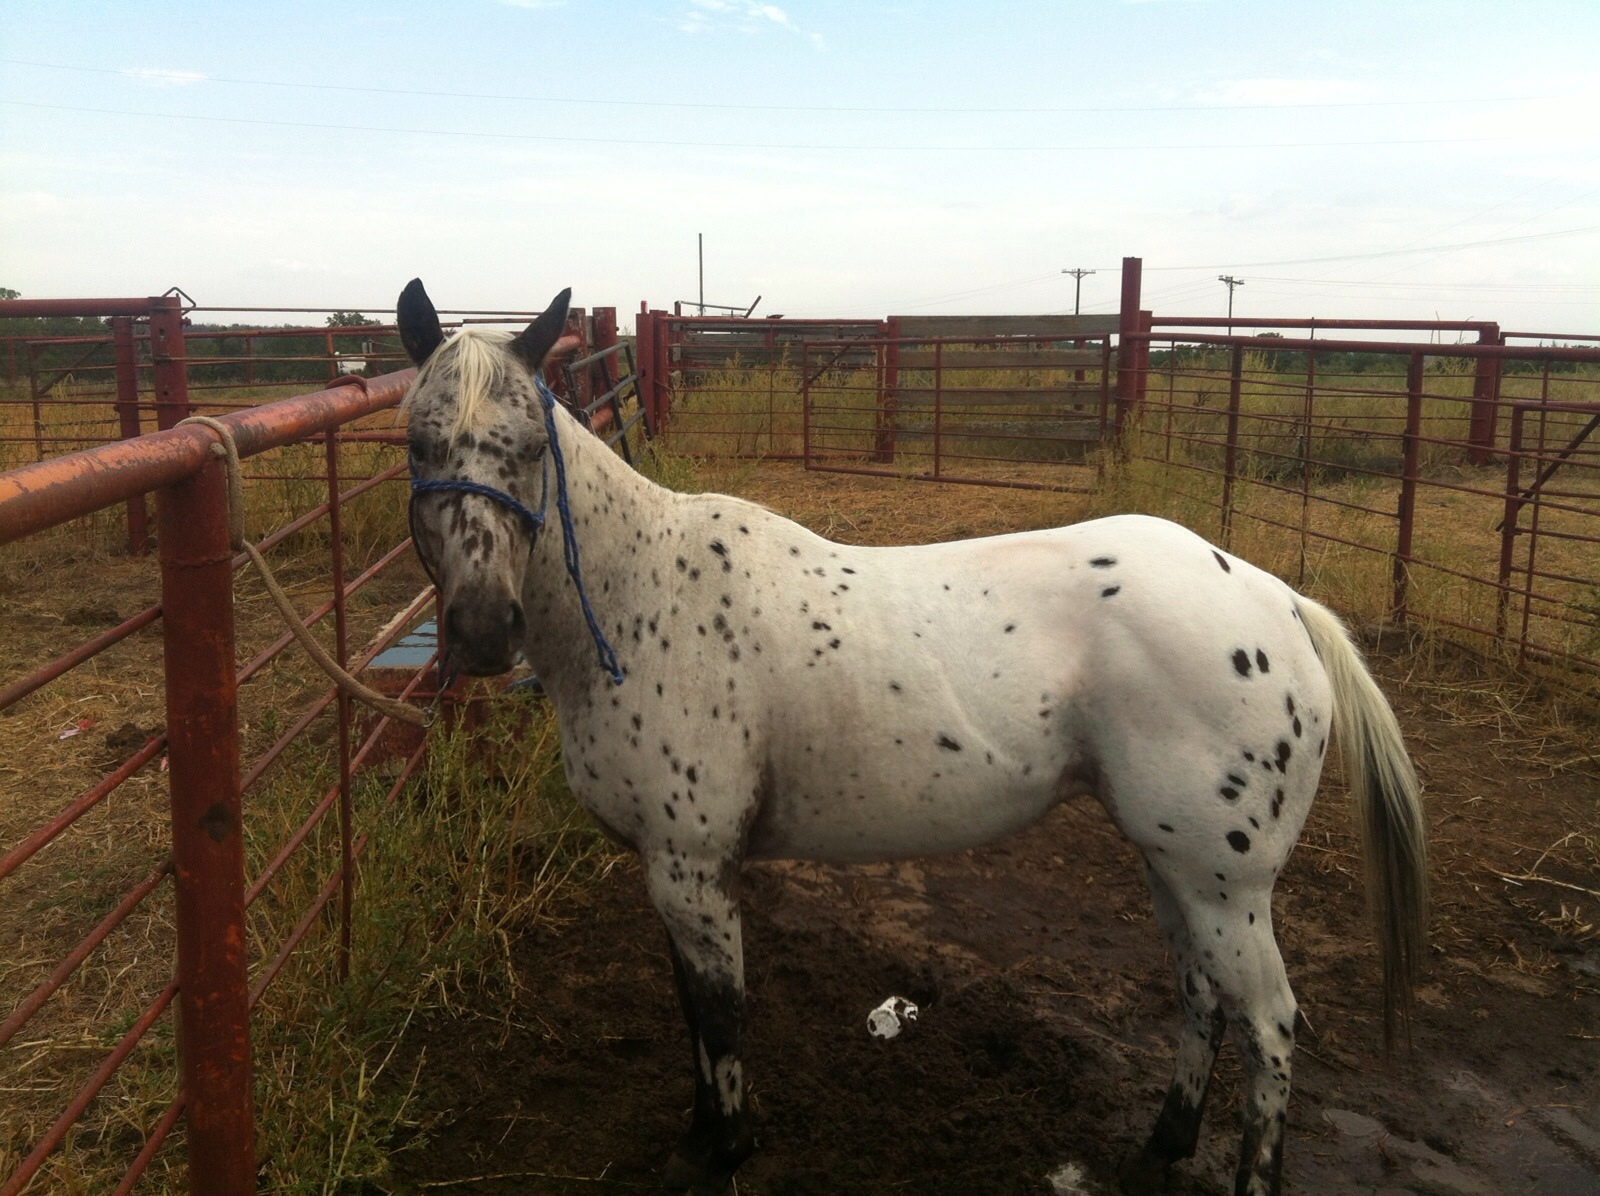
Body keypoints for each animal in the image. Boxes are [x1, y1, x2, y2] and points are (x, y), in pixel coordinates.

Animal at [395, 280, 1428, 1196]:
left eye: (531, 446)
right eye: (417, 442)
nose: (482, 629)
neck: (644, 599)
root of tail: (1279, 603)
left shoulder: (690, 866)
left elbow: (722, 1017)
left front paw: (720, 1152)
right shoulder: (672, 869)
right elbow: (693, 1010)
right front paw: (700, 1135)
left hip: (1227, 886)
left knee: (1270, 1024)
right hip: (1174, 865)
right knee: (1200, 994)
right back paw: (1161, 1147)